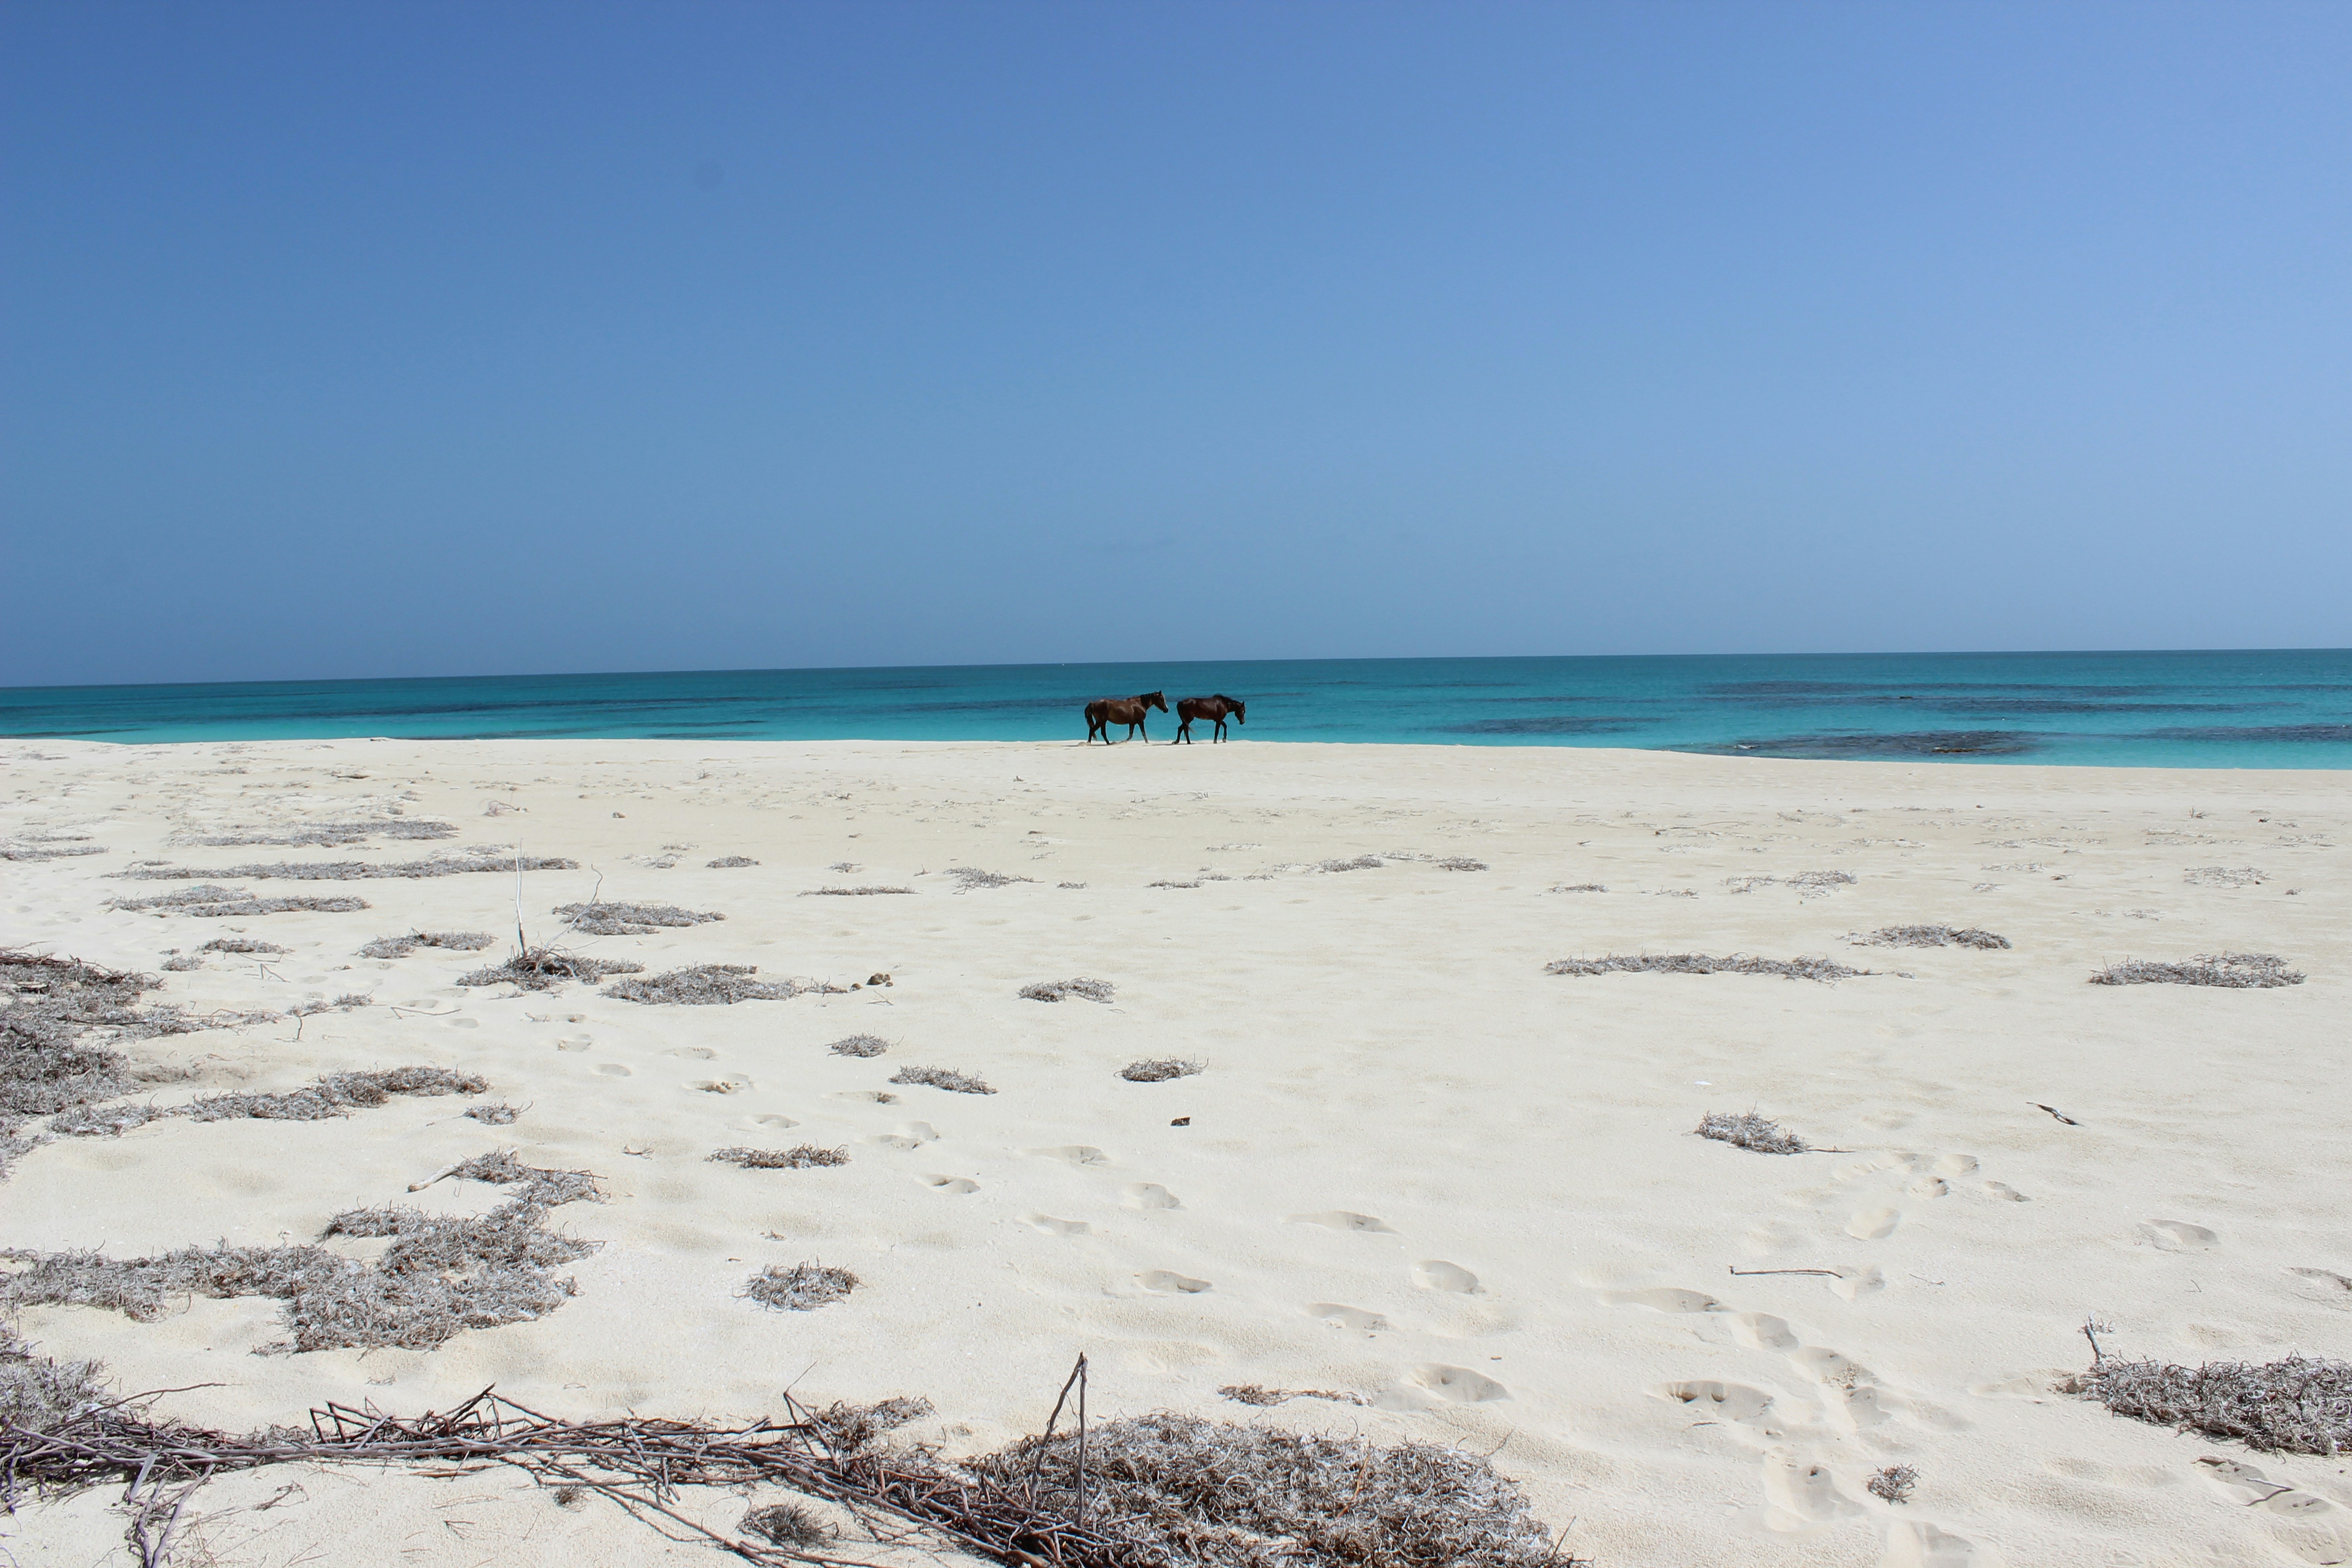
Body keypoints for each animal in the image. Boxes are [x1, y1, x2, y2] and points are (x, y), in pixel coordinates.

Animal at [1085, 690, 1167, 743]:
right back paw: (1089, 743)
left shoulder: (1132, 723)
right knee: (1093, 730)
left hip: (1103, 722)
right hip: (1101, 721)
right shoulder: (1140, 721)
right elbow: (1143, 733)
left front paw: (1123, 742)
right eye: (1162, 699)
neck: (1140, 704)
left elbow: (1131, 735)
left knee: (1102, 733)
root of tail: (1093, 704)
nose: (1167, 710)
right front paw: (1147, 743)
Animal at [1173, 694, 1245, 743]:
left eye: (1244, 711)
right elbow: (1217, 731)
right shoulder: (1219, 720)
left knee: (1181, 729)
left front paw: (1224, 739)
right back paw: (1188, 742)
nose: (1243, 722)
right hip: (1188, 719)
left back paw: (1178, 742)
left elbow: (1225, 726)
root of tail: (1181, 702)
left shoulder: (1218, 720)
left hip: (1186, 720)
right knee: (1185, 729)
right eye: (1242, 711)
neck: (1224, 704)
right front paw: (1215, 742)